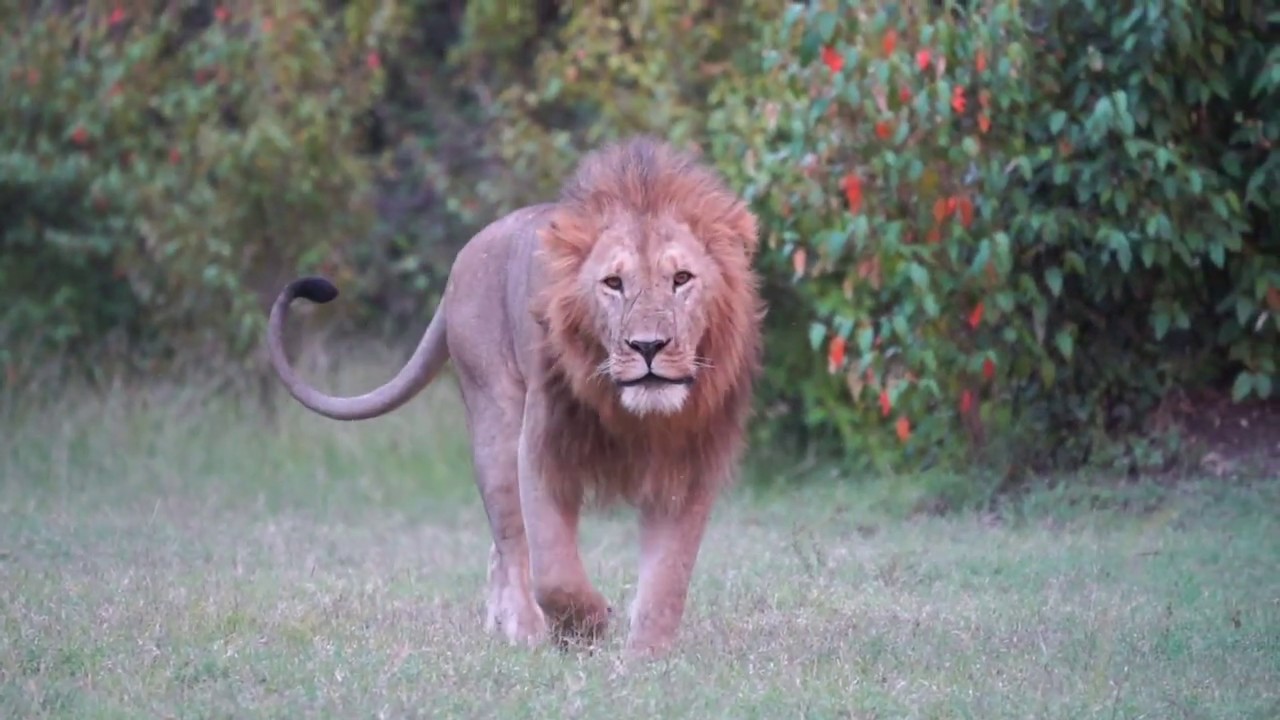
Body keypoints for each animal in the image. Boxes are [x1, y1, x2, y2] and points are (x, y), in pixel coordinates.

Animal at [266, 136, 765, 657]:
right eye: (613, 283)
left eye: (682, 279)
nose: (647, 346)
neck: (635, 418)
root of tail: (461, 260)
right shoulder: (542, 447)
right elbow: (554, 569)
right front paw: (585, 627)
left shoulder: (689, 467)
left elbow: (669, 577)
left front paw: (646, 656)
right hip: (496, 423)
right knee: (510, 541)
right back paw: (523, 631)